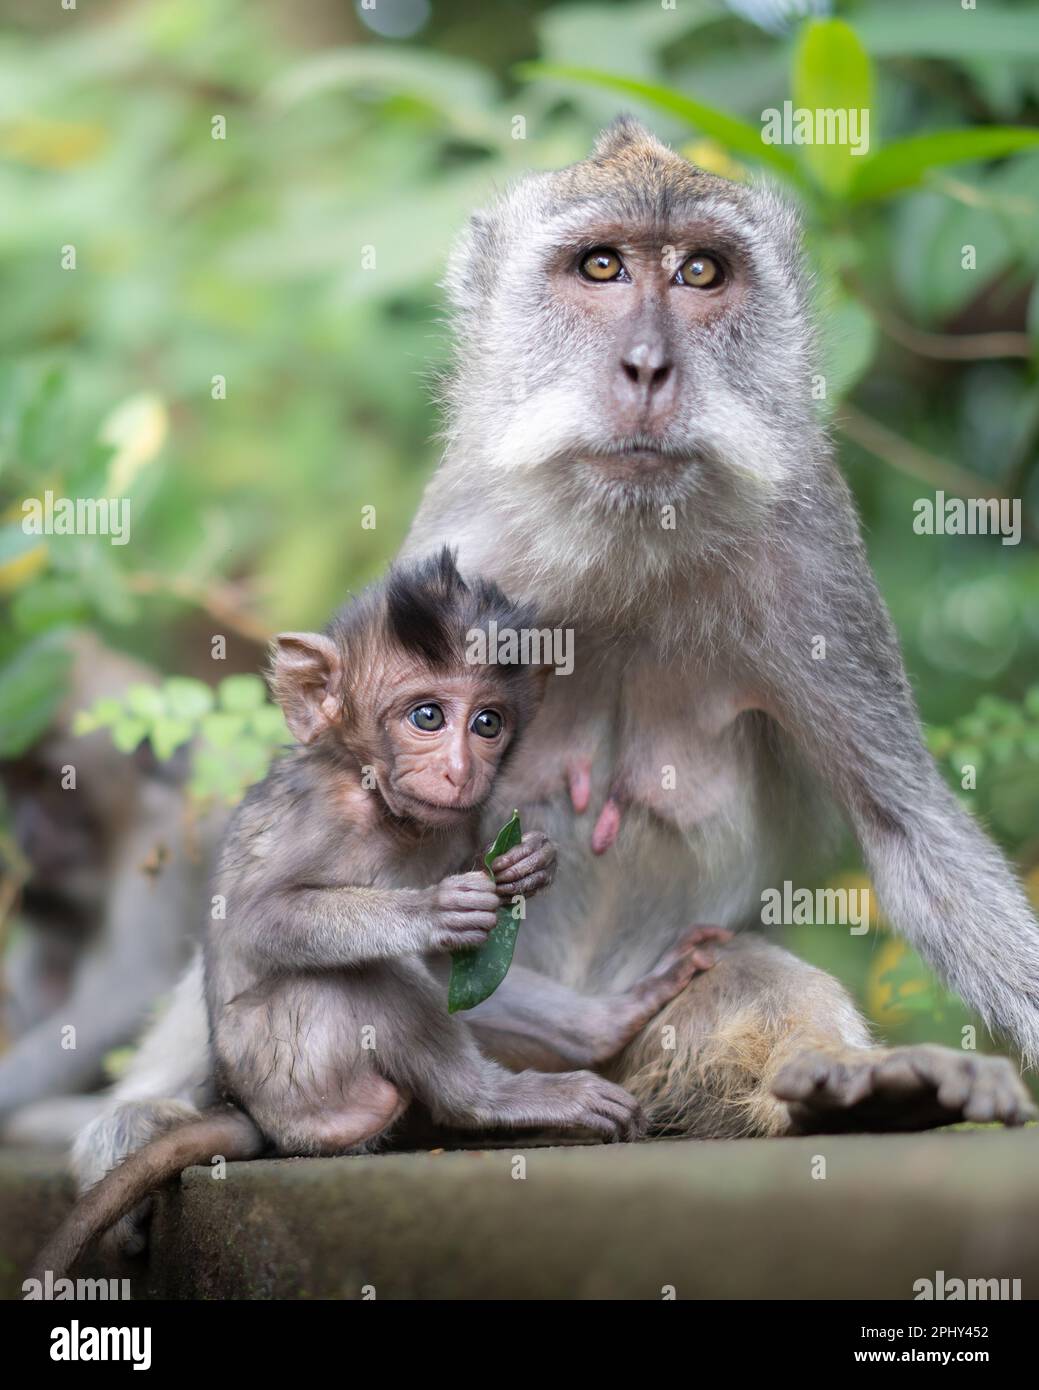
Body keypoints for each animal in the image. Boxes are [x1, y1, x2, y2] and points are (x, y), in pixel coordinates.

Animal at [36, 549, 724, 1276]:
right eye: (427, 717)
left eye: (488, 722)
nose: (460, 770)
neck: (377, 801)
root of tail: (245, 1108)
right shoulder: (320, 811)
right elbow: (260, 918)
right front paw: (433, 907)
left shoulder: (458, 823)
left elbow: (453, 952)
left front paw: (530, 865)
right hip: (291, 1076)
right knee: (362, 978)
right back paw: (490, 1100)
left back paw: (602, 1026)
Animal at [72, 119, 1036, 1205]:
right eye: (602, 267)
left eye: (701, 271)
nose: (648, 366)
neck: (630, 540)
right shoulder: (460, 542)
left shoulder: (812, 554)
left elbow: (905, 824)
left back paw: (853, 1086)